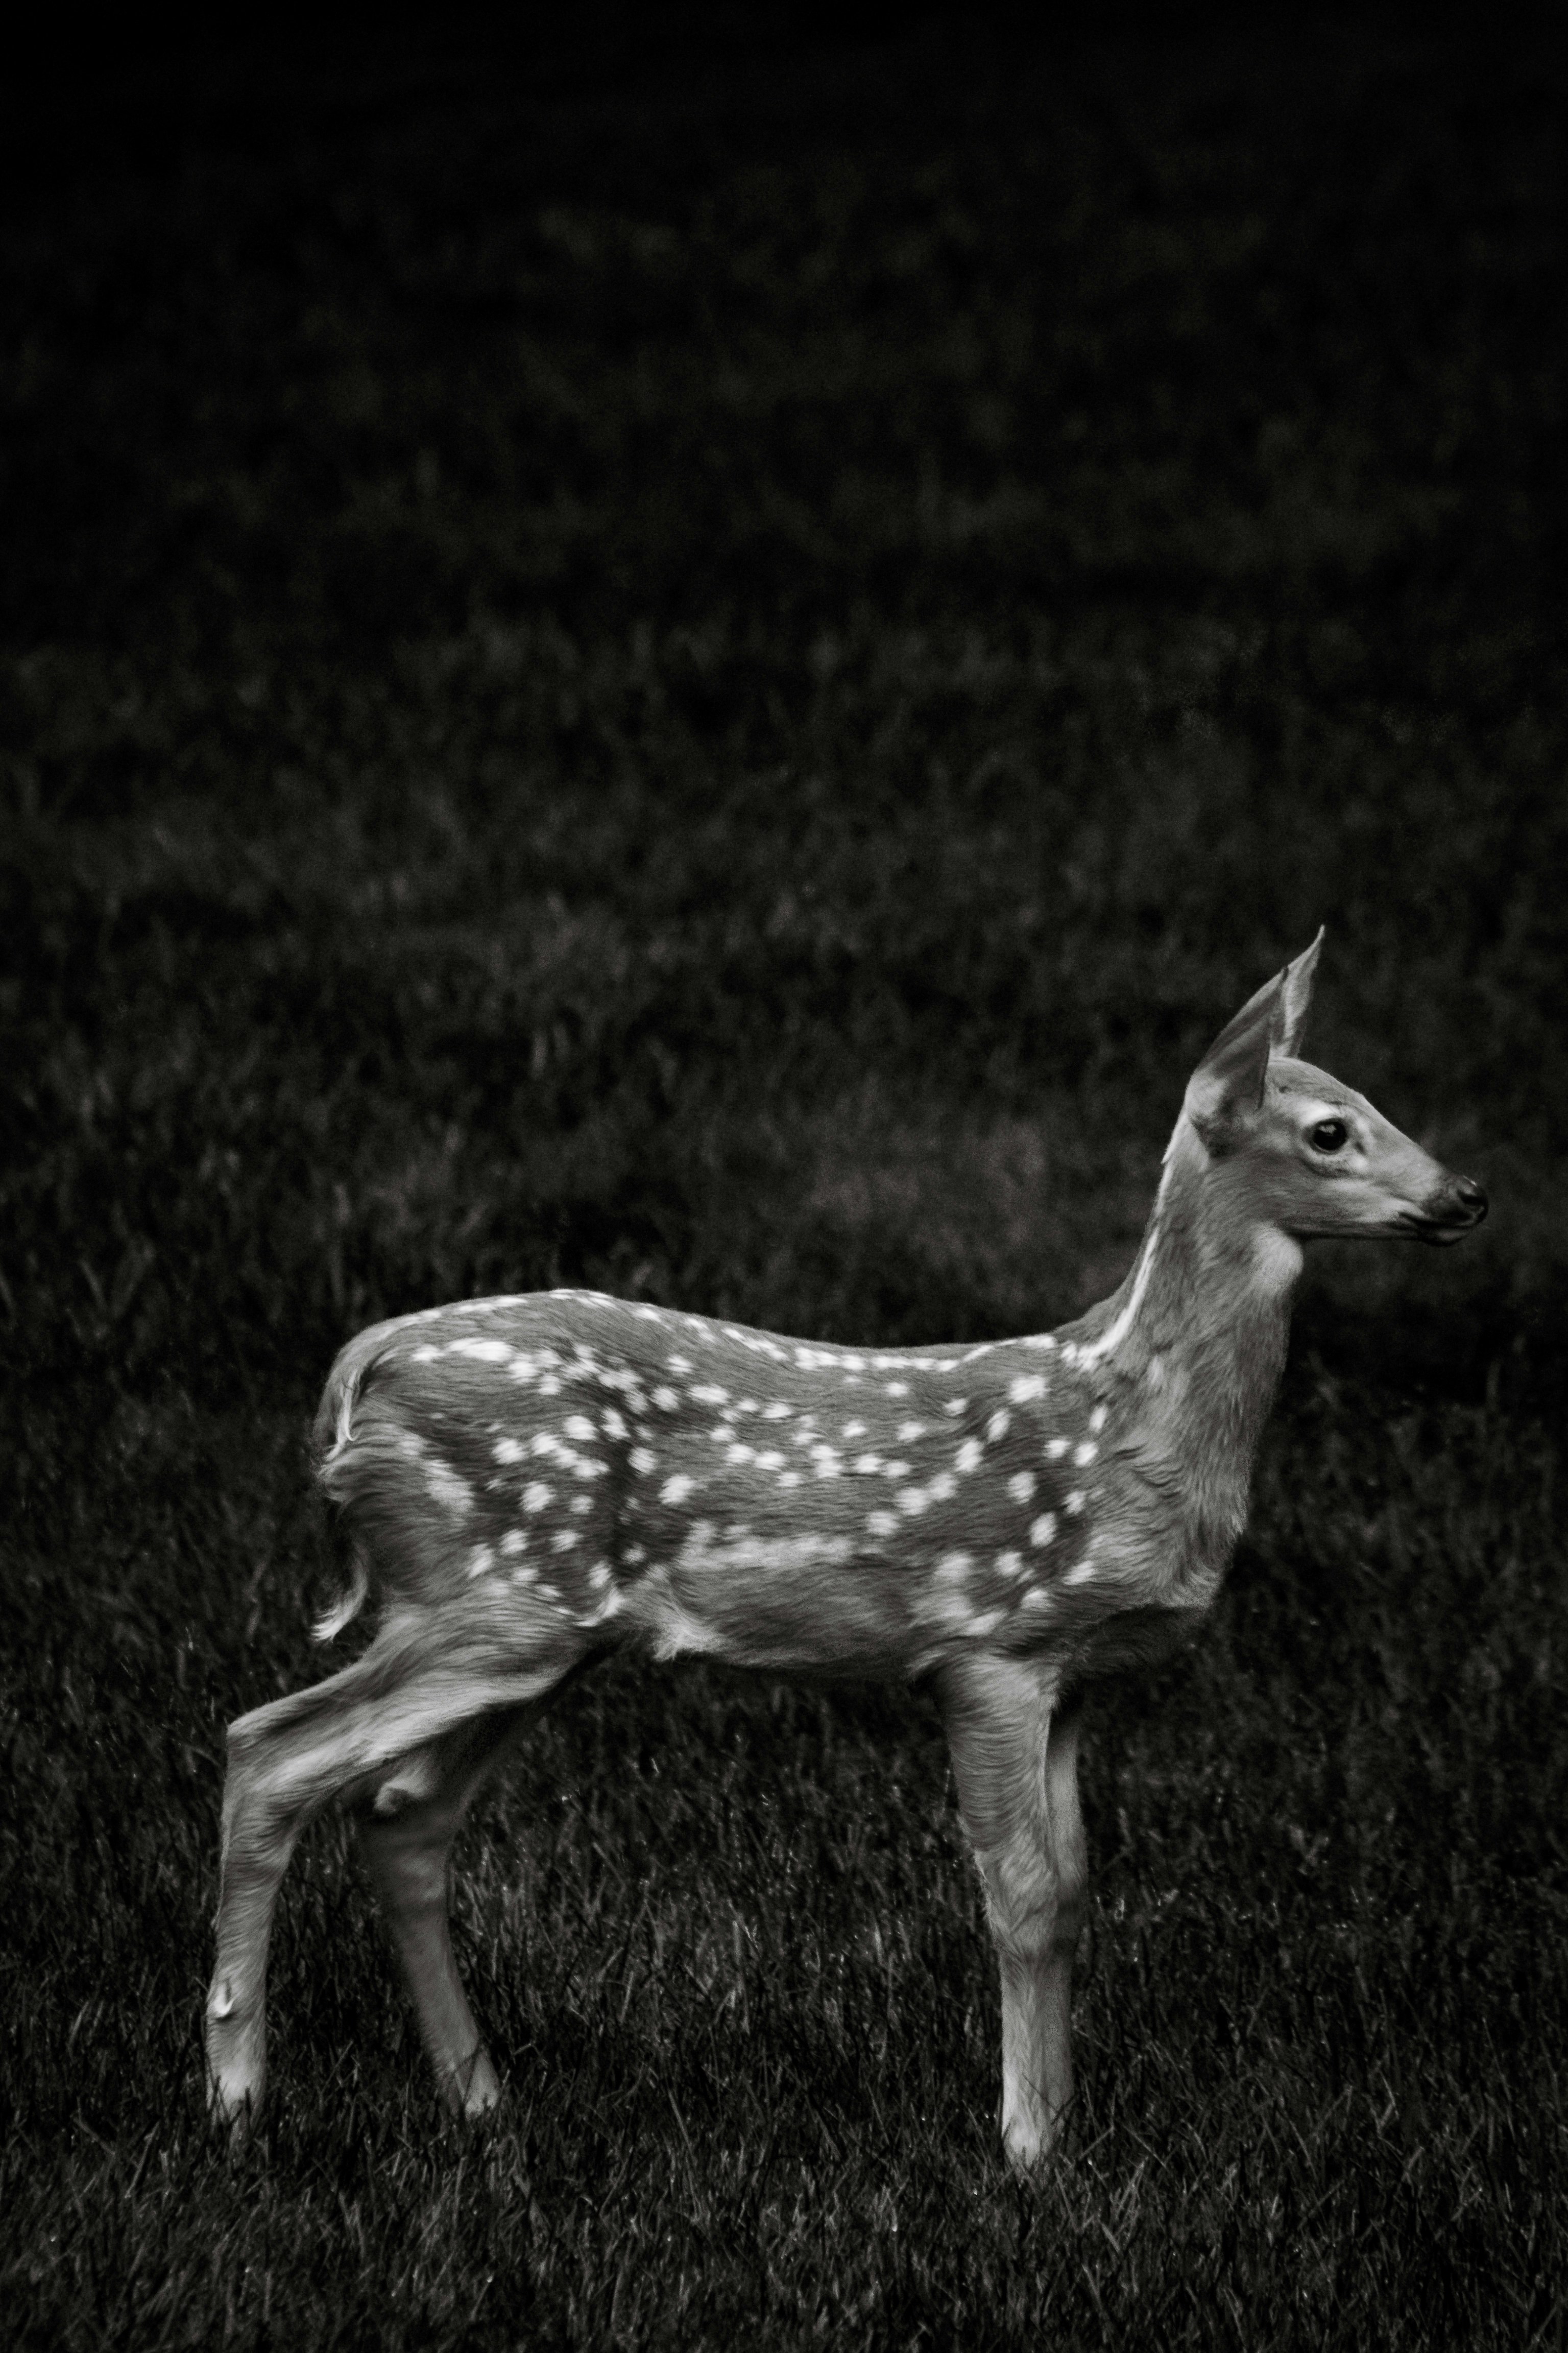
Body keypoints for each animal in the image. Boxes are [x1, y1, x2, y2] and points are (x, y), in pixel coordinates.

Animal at [205, 933, 1487, 2169]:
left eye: (1368, 1097)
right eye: (1327, 1129)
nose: (1464, 1191)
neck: (1132, 1420)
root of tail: (361, 1371)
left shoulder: (1072, 1675)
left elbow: (1075, 1891)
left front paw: (1062, 2128)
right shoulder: (989, 1646)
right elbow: (1021, 1896)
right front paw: (1028, 2150)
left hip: (533, 1629)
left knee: (400, 1813)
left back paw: (479, 2100)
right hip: (487, 1595)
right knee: (267, 1748)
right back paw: (237, 2100)